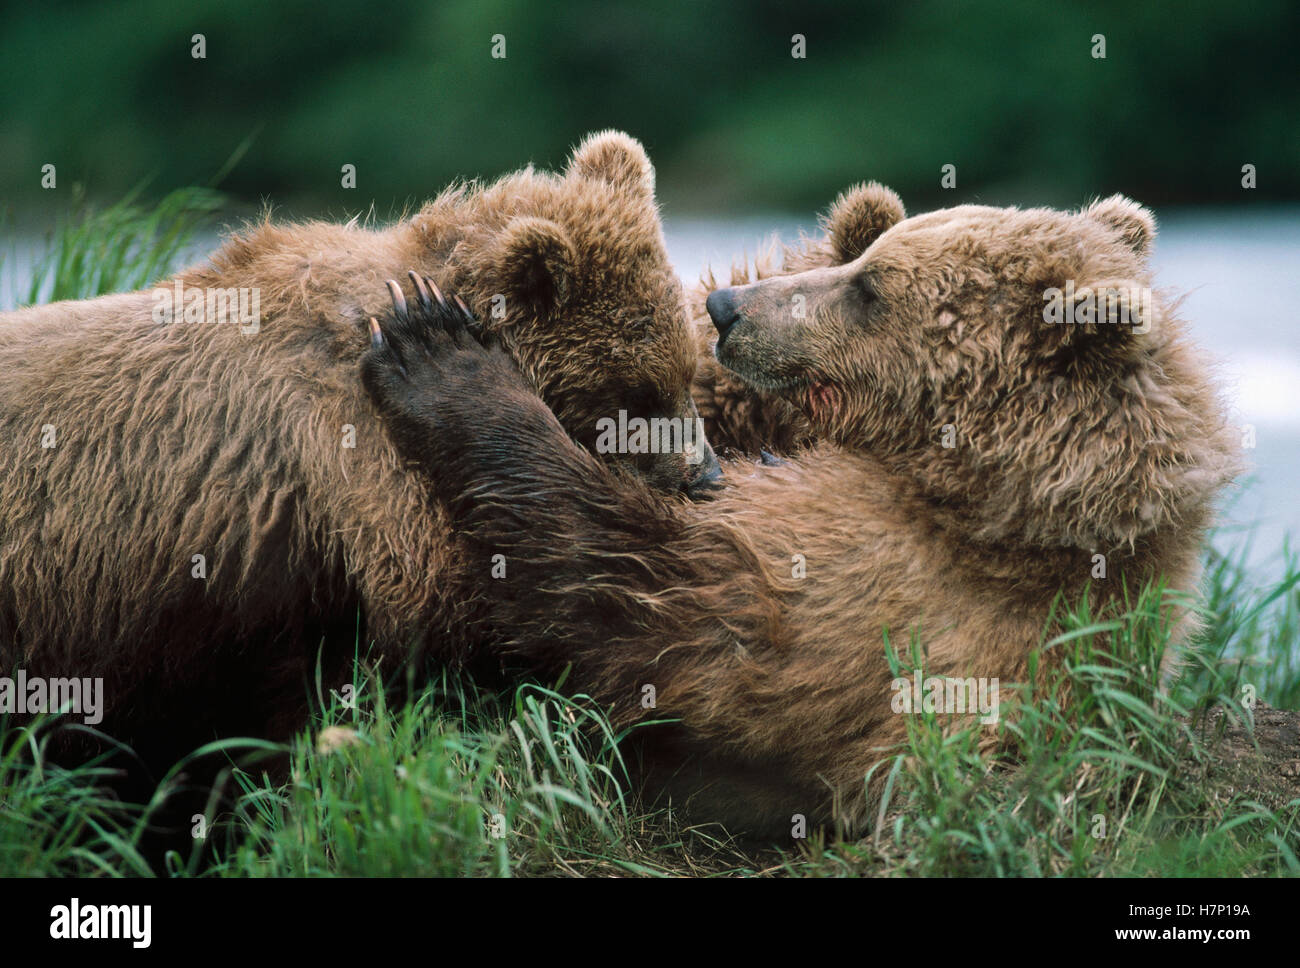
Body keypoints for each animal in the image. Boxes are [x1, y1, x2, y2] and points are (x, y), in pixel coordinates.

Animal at [357, 186, 1241, 836]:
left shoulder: (893, 596)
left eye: (871, 289)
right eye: (866, 263)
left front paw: (438, 354)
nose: (727, 308)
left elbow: (631, 575)